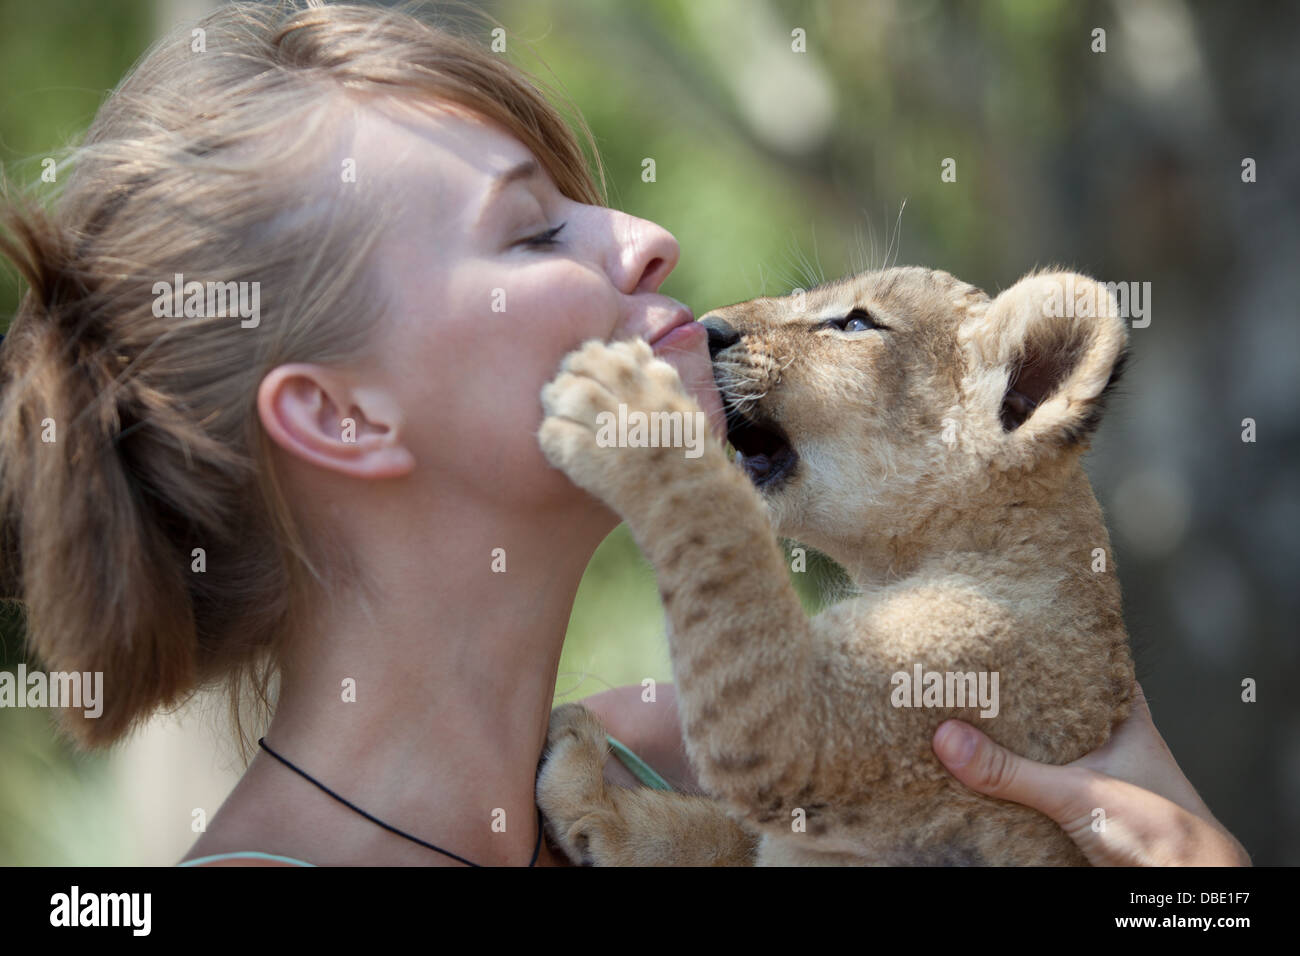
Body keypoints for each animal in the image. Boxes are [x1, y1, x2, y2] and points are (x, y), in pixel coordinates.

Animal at [535, 266, 1135, 865]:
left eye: (855, 323)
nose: (709, 328)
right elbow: (704, 832)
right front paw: (588, 789)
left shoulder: (851, 713)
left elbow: (714, 522)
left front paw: (629, 407)